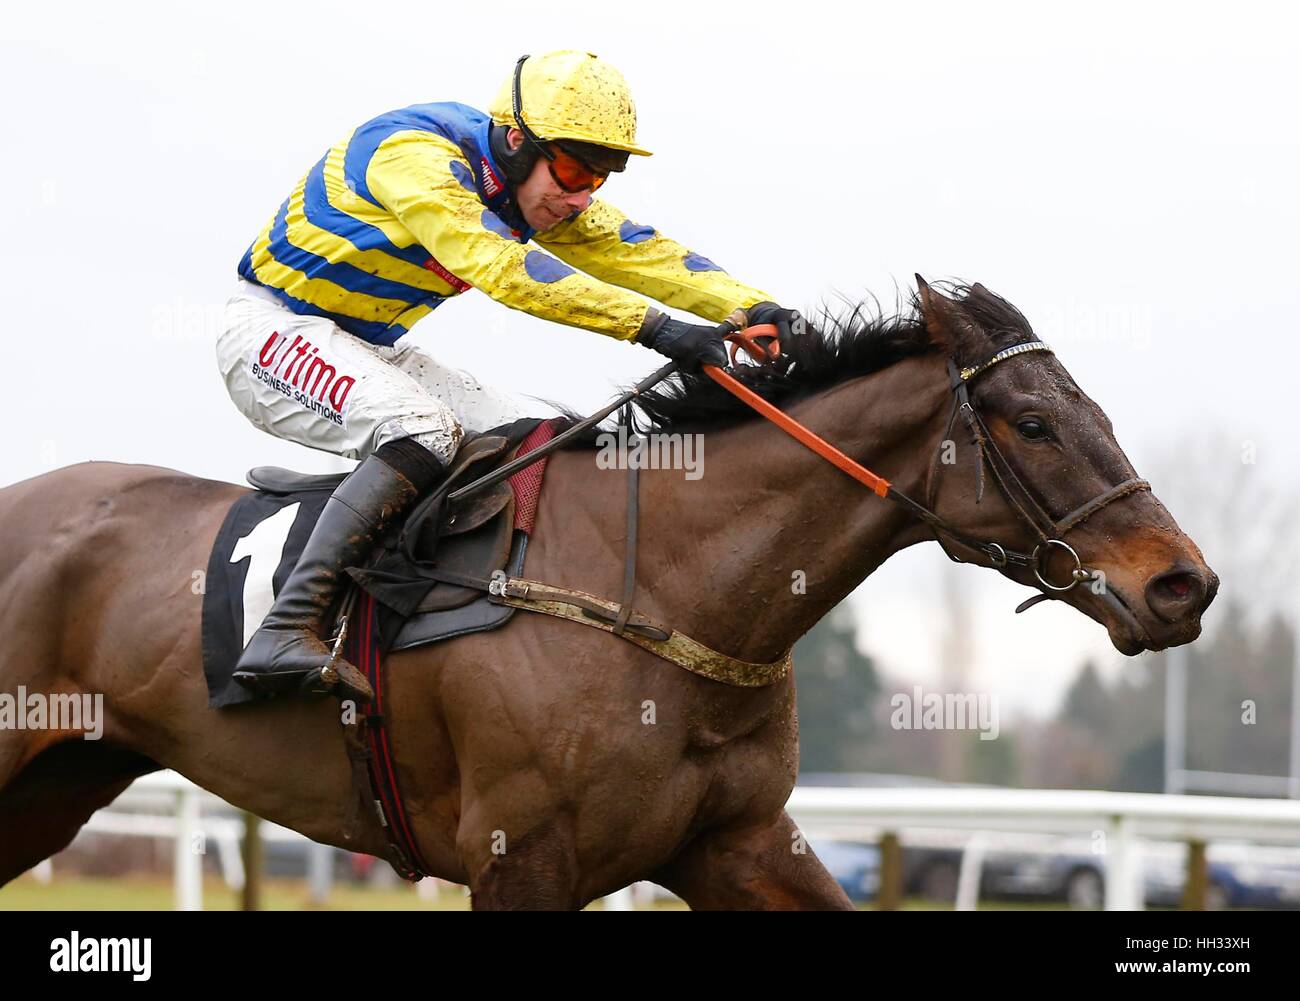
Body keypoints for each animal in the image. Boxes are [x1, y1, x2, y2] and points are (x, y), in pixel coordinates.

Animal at [0, 280, 1217, 909]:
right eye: (1034, 422)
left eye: (1091, 407)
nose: (1183, 582)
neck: (668, 588)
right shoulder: (518, 861)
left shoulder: (738, 841)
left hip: (61, 778)